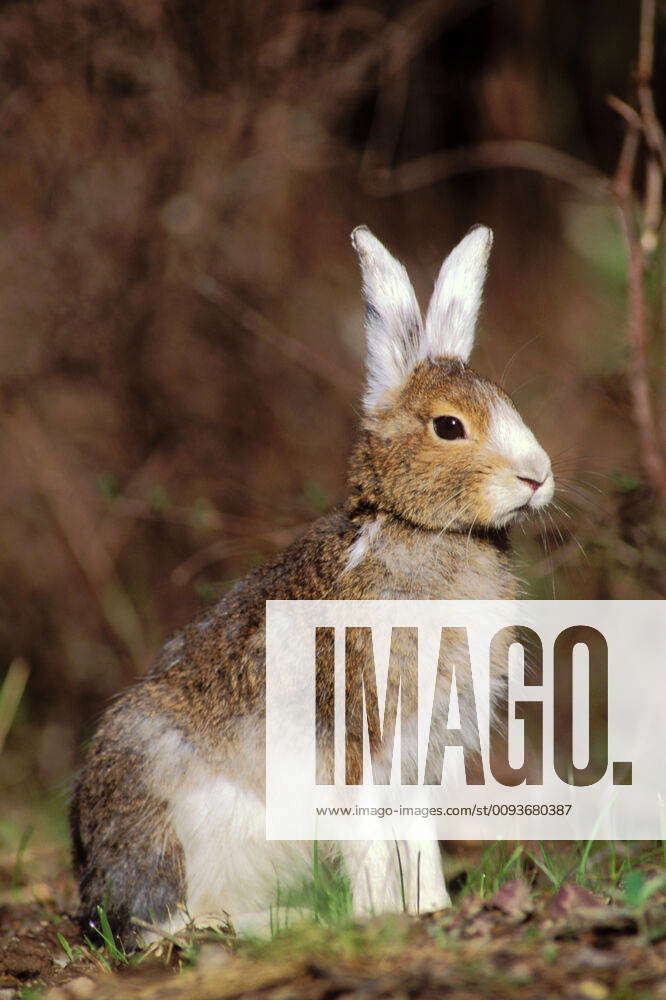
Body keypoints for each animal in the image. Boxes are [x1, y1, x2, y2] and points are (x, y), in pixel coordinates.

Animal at [70, 224, 554, 946]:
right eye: (449, 426)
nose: (538, 476)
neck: (412, 526)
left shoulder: (417, 749)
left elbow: (418, 835)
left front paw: (429, 908)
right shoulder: (354, 737)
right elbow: (369, 838)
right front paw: (379, 917)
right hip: (161, 797)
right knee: (168, 921)